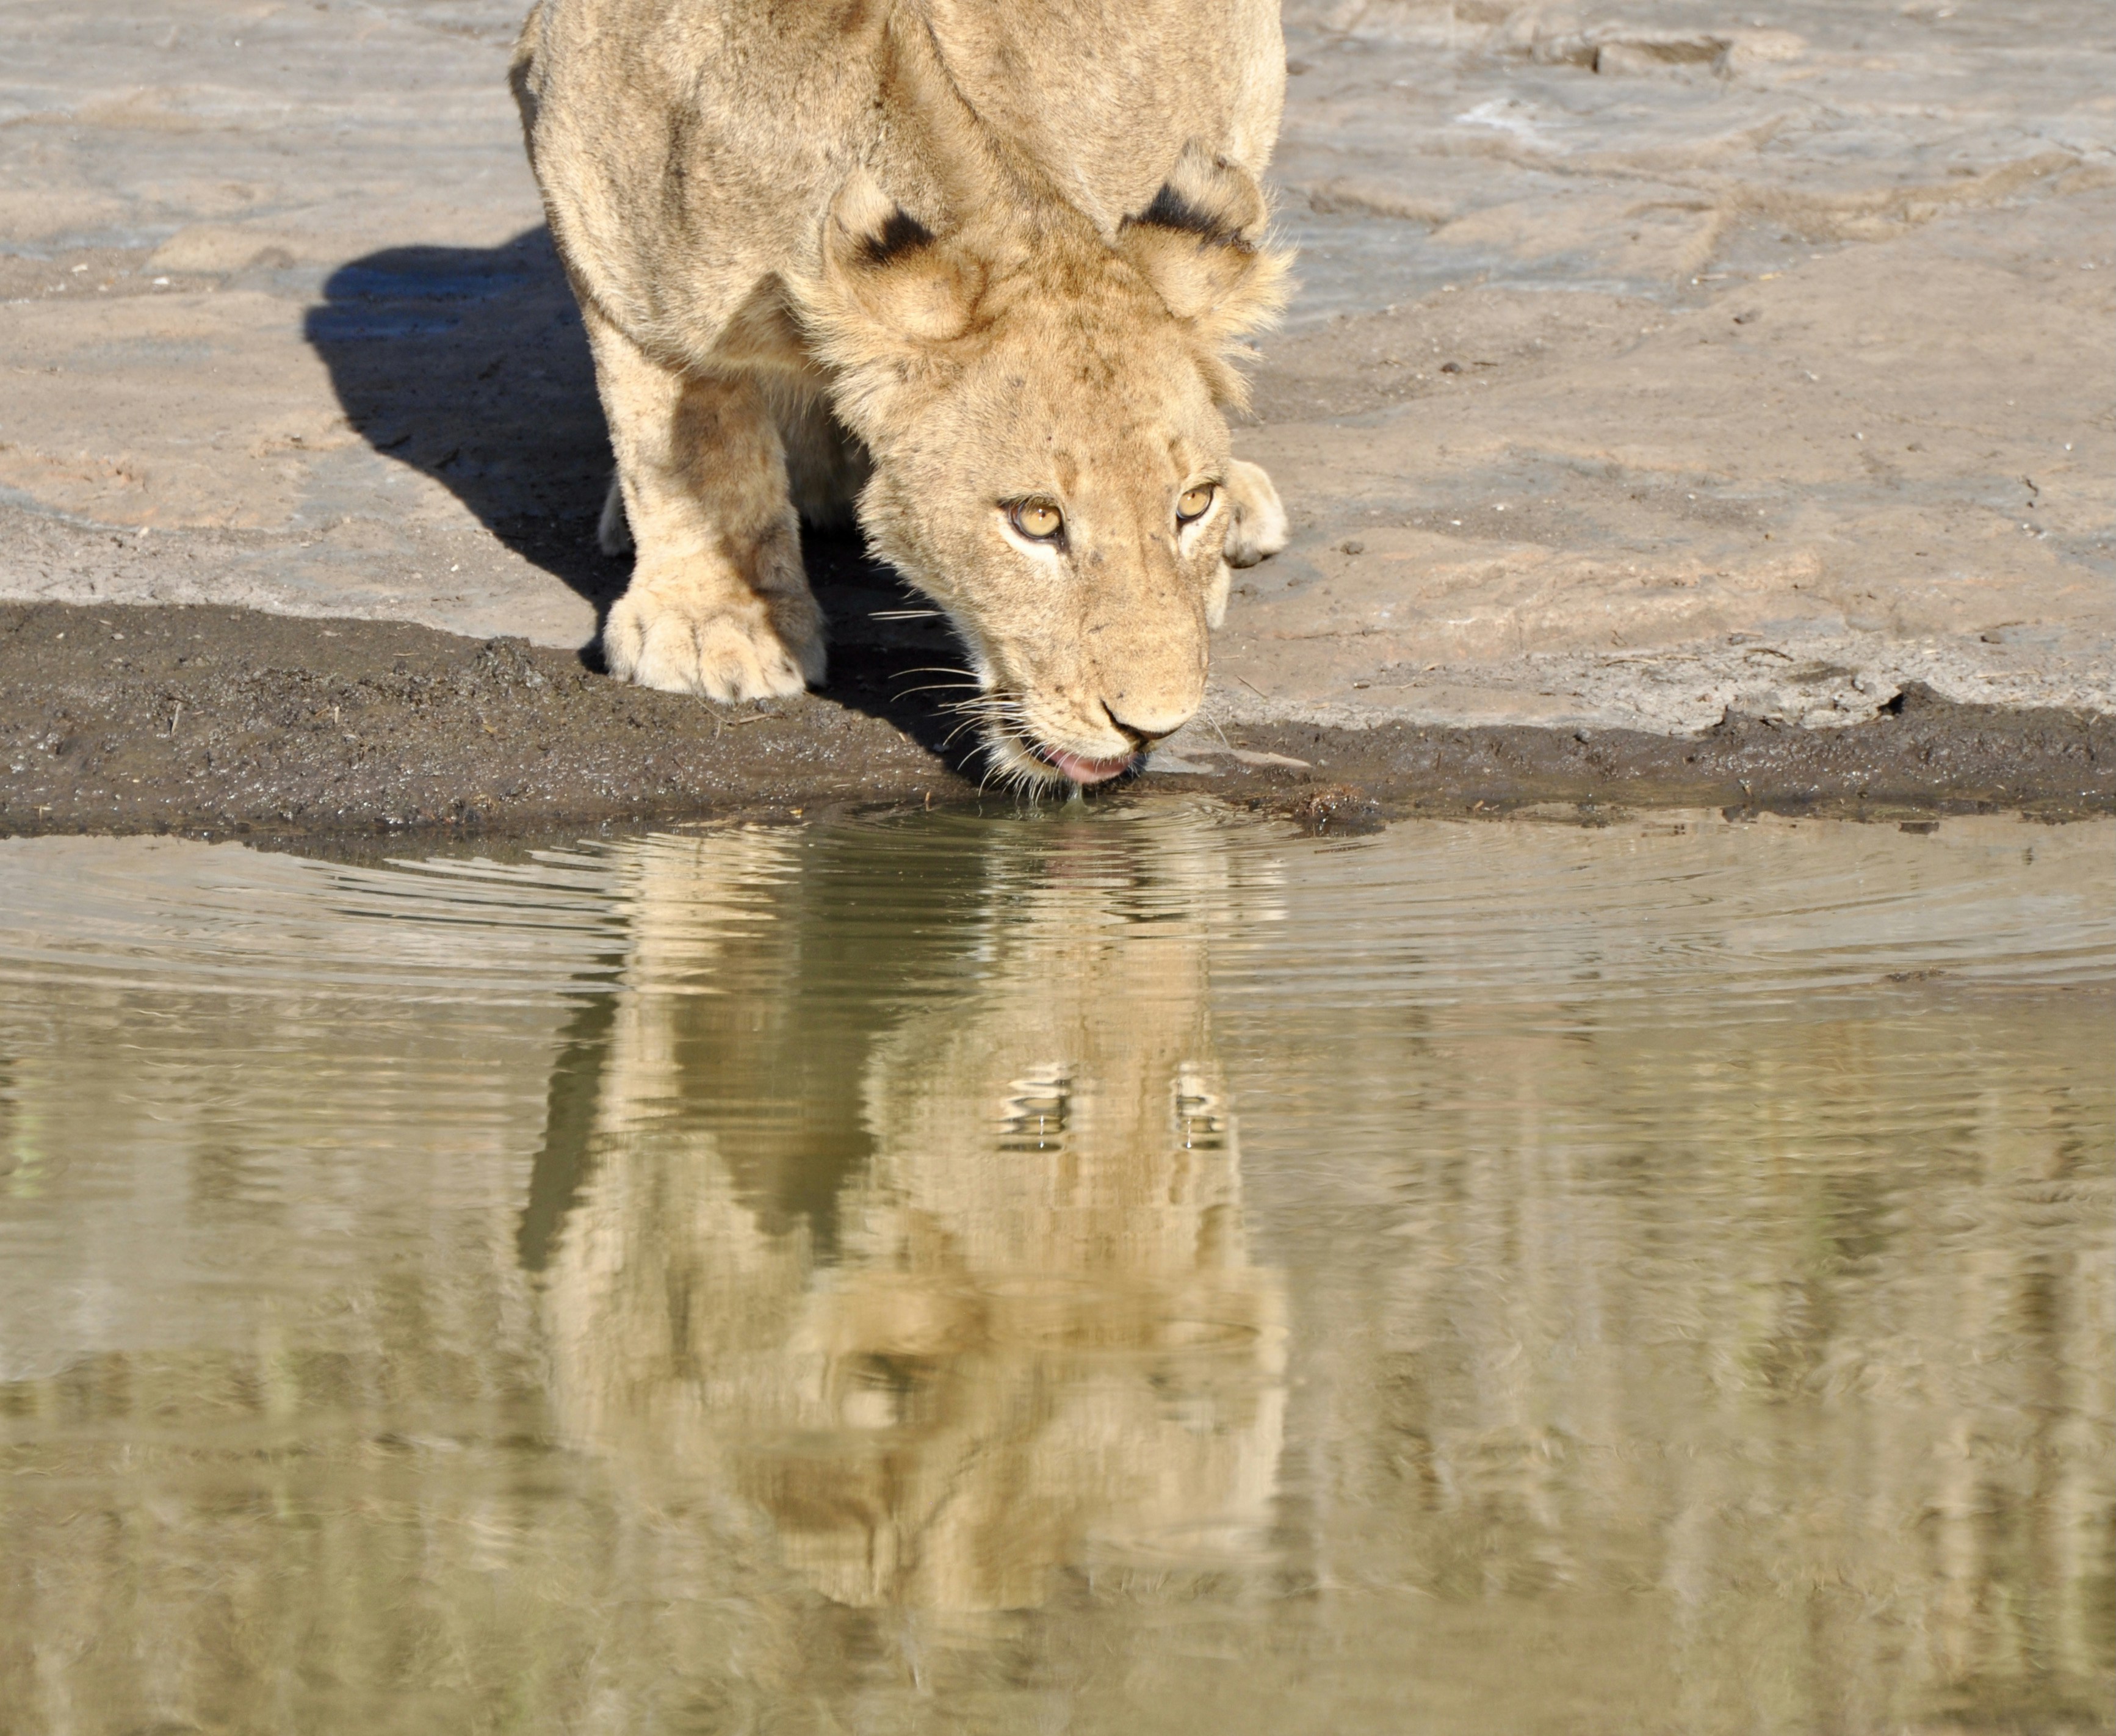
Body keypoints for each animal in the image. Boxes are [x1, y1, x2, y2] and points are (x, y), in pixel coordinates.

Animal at [511, 0, 1293, 788]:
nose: (1152, 727)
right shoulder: (596, 211)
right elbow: (689, 444)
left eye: (1192, 504)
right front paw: (717, 624)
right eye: (1036, 519)